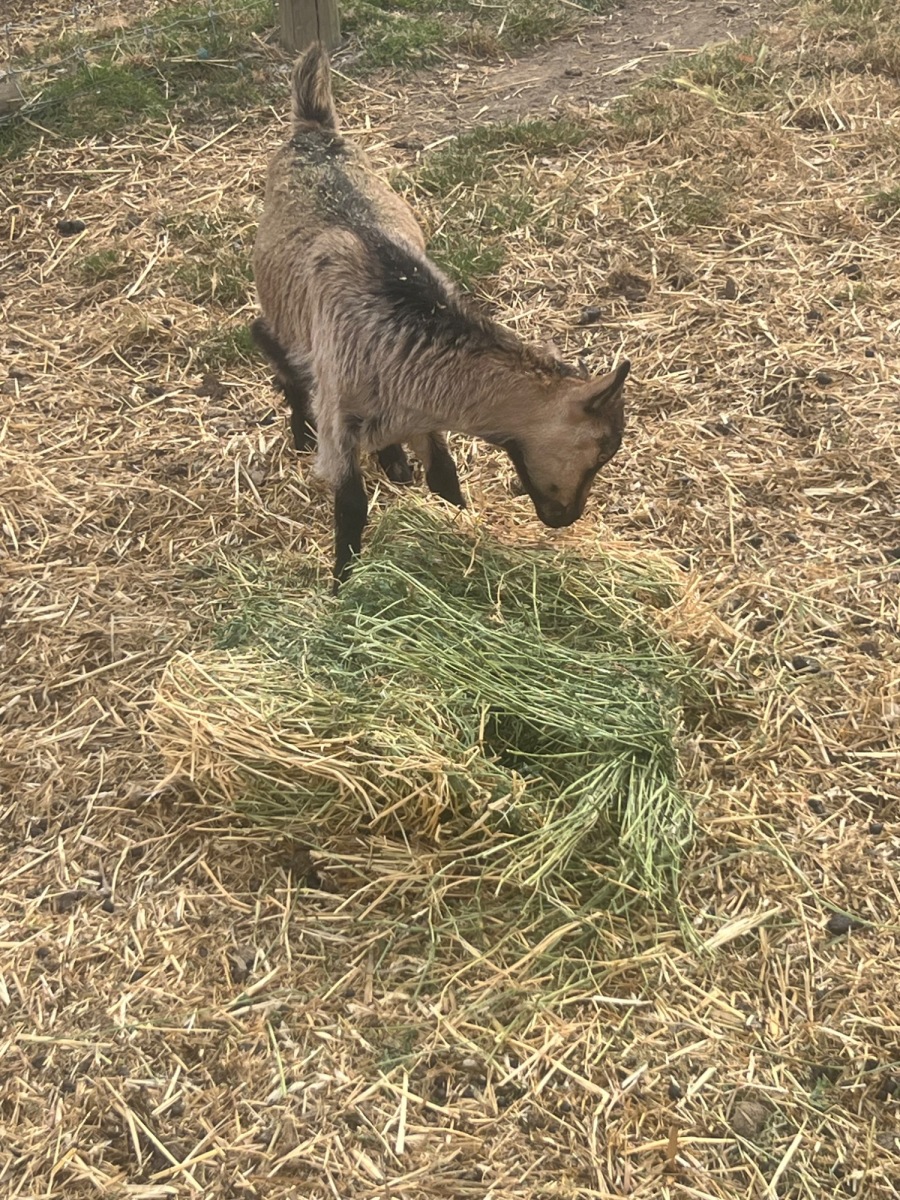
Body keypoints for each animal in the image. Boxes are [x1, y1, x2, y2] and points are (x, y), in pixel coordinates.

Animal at [252, 42, 630, 589]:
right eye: (602, 451)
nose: (567, 517)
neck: (403, 321)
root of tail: (313, 130)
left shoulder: (419, 415)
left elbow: (444, 478)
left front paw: (461, 527)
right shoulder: (339, 419)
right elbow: (351, 505)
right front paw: (343, 585)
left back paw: (392, 461)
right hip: (280, 305)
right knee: (266, 338)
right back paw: (300, 429)